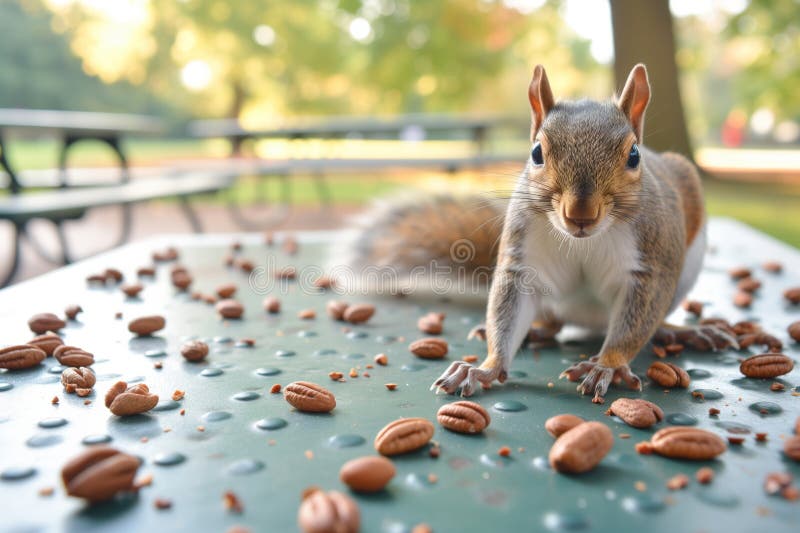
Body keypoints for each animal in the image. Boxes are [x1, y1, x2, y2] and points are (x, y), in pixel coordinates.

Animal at [342, 64, 738, 402]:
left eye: (634, 156)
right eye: (536, 152)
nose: (580, 215)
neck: (584, 241)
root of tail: (588, 321)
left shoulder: (649, 265)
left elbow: (635, 322)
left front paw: (606, 366)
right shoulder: (523, 262)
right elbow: (508, 309)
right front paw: (484, 369)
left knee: (653, 321)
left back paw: (682, 330)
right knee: (551, 322)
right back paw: (532, 330)